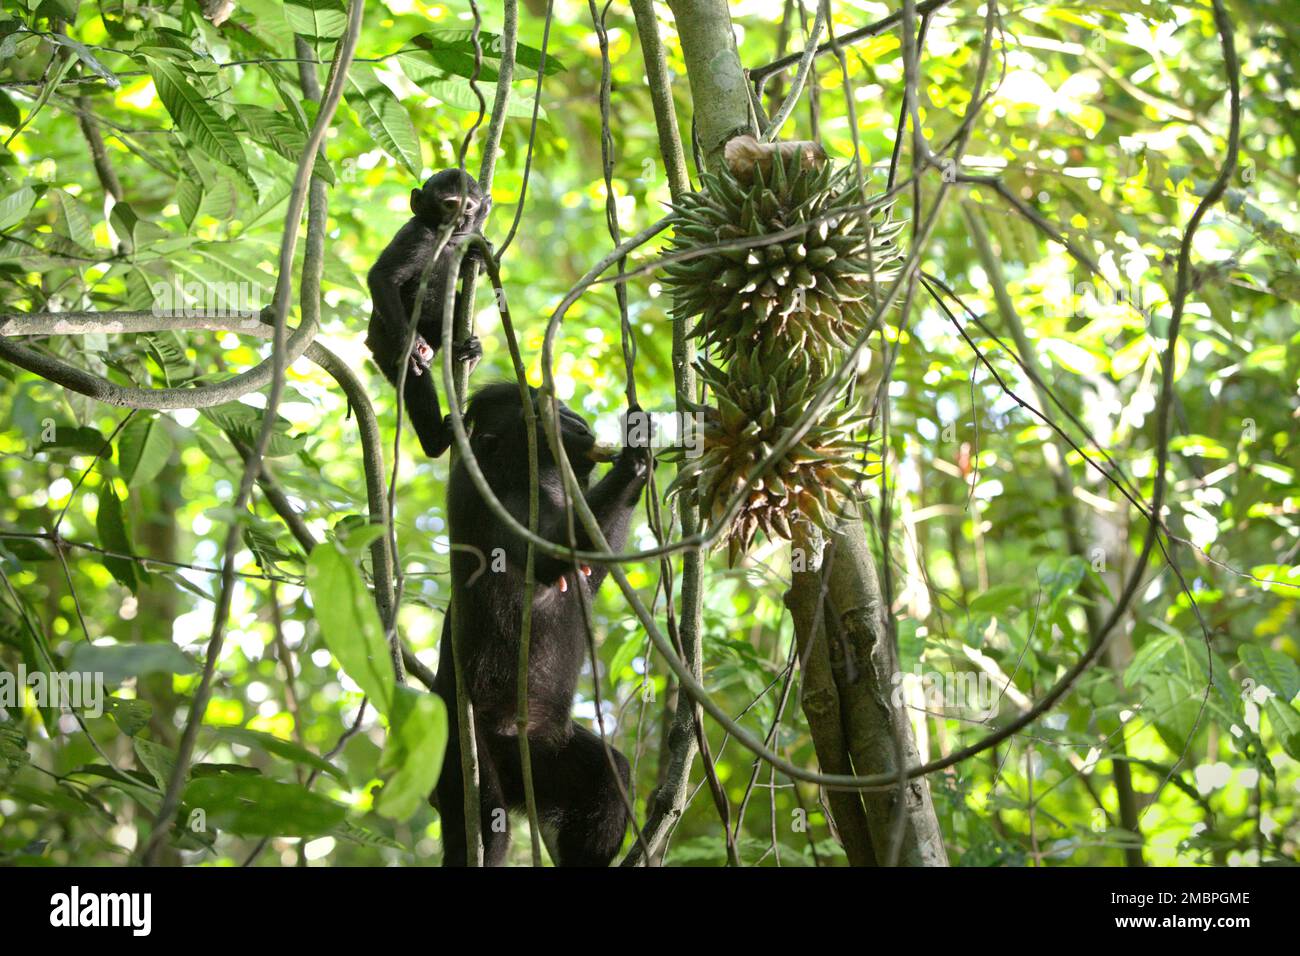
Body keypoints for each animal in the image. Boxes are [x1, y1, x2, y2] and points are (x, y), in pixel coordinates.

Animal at [366, 168, 491, 459]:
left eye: (468, 206)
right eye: (449, 204)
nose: (458, 219)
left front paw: (482, 254)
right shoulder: (416, 236)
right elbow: (383, 277)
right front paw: (411, 346)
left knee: (456, 301)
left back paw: (471, 353)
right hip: (382, 344)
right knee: (414, 378)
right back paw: (437, 441)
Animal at [432, 383, 652, 867]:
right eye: (535, 408)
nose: (573, 417)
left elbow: (594, 568)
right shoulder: (501, 500)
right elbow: (551, 556)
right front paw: (633, 457)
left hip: (540, 757)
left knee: (609, 778)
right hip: (459, 739)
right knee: (486, 823)